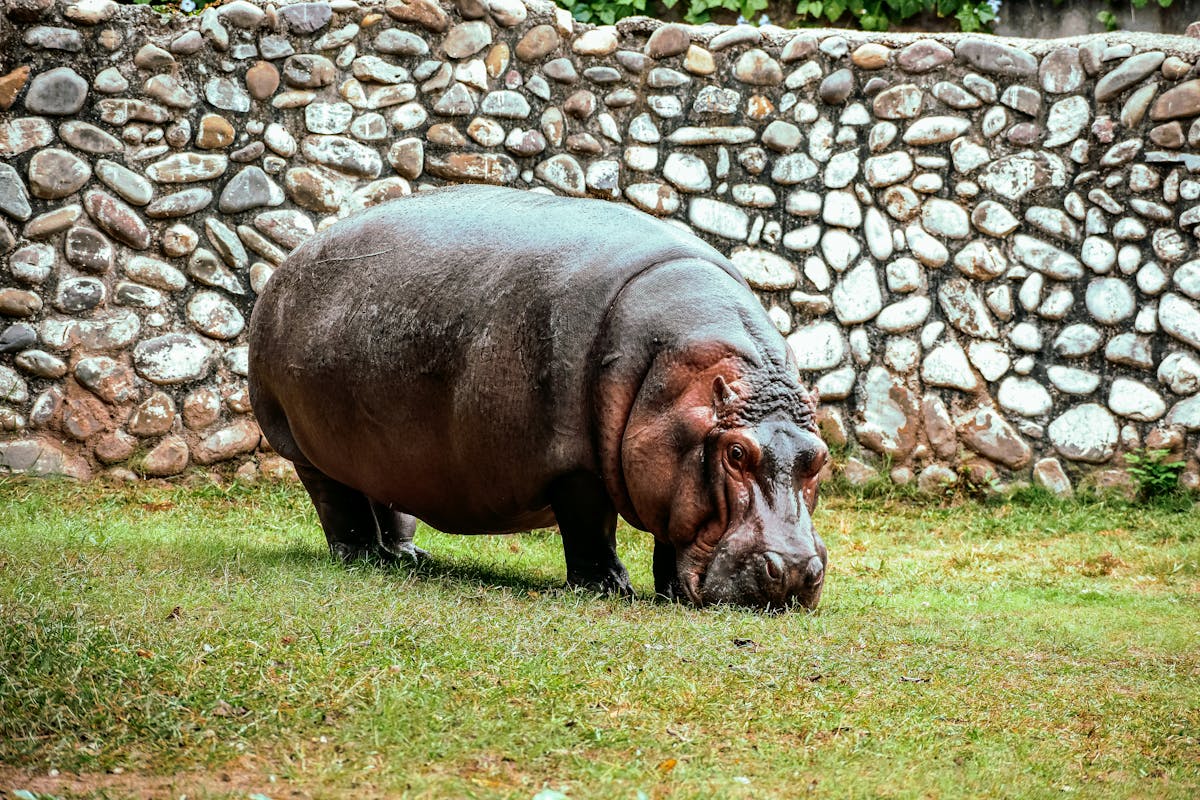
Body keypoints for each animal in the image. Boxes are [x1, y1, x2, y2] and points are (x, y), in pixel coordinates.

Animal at [248, 184, 828, 610]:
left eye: (819, 458)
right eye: (735, 452)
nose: (795, 570)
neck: (677, 375)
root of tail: (284, 267)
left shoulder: (668, 471)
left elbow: (670, 536)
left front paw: (666, 592)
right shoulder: (575, 465)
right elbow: (591, 528)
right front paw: (611, 589)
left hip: (379, 452)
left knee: (383, 496)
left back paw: (409, 556)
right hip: (299, 444)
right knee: (335, 502)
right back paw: (360, 555)